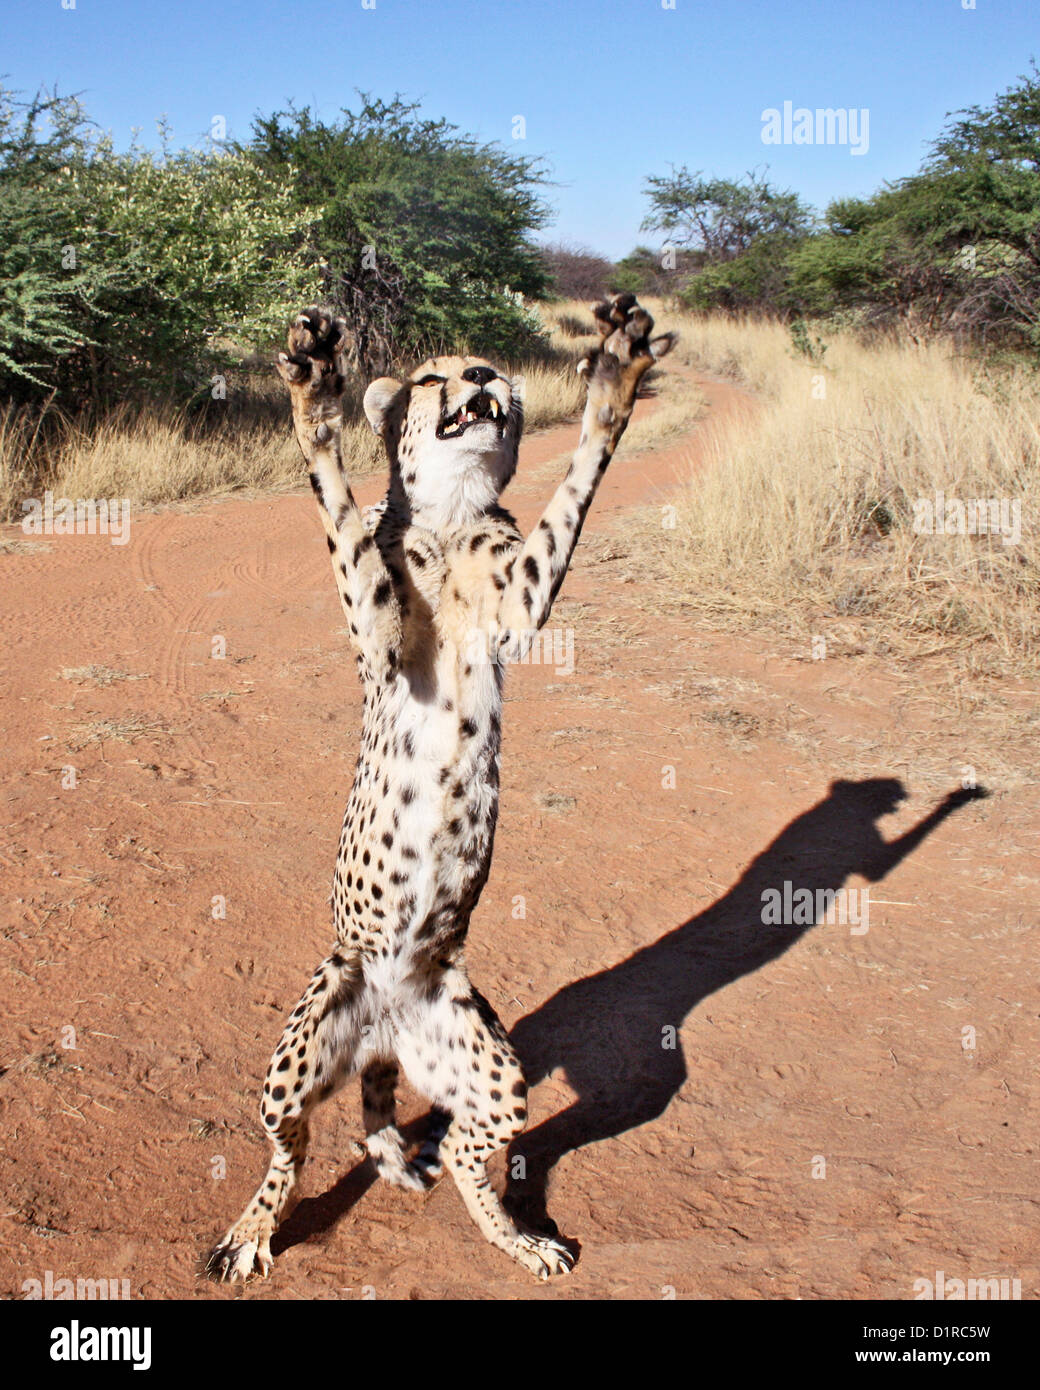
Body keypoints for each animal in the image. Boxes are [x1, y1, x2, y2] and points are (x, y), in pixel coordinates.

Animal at [205, 292, 676, 1283]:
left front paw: (614, 376)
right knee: (288, 1148)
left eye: (486, 364)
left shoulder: (522, 604)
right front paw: (314, 393)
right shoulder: (384, 636)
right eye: (433, 376)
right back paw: (252, 1232)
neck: (455, 519)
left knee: (454, 1143)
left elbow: (572, 495)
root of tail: (388, 1026)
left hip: (491, 1064)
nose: (484, 380)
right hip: (310, 1030)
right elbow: (348, 525)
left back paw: (513, 1231)